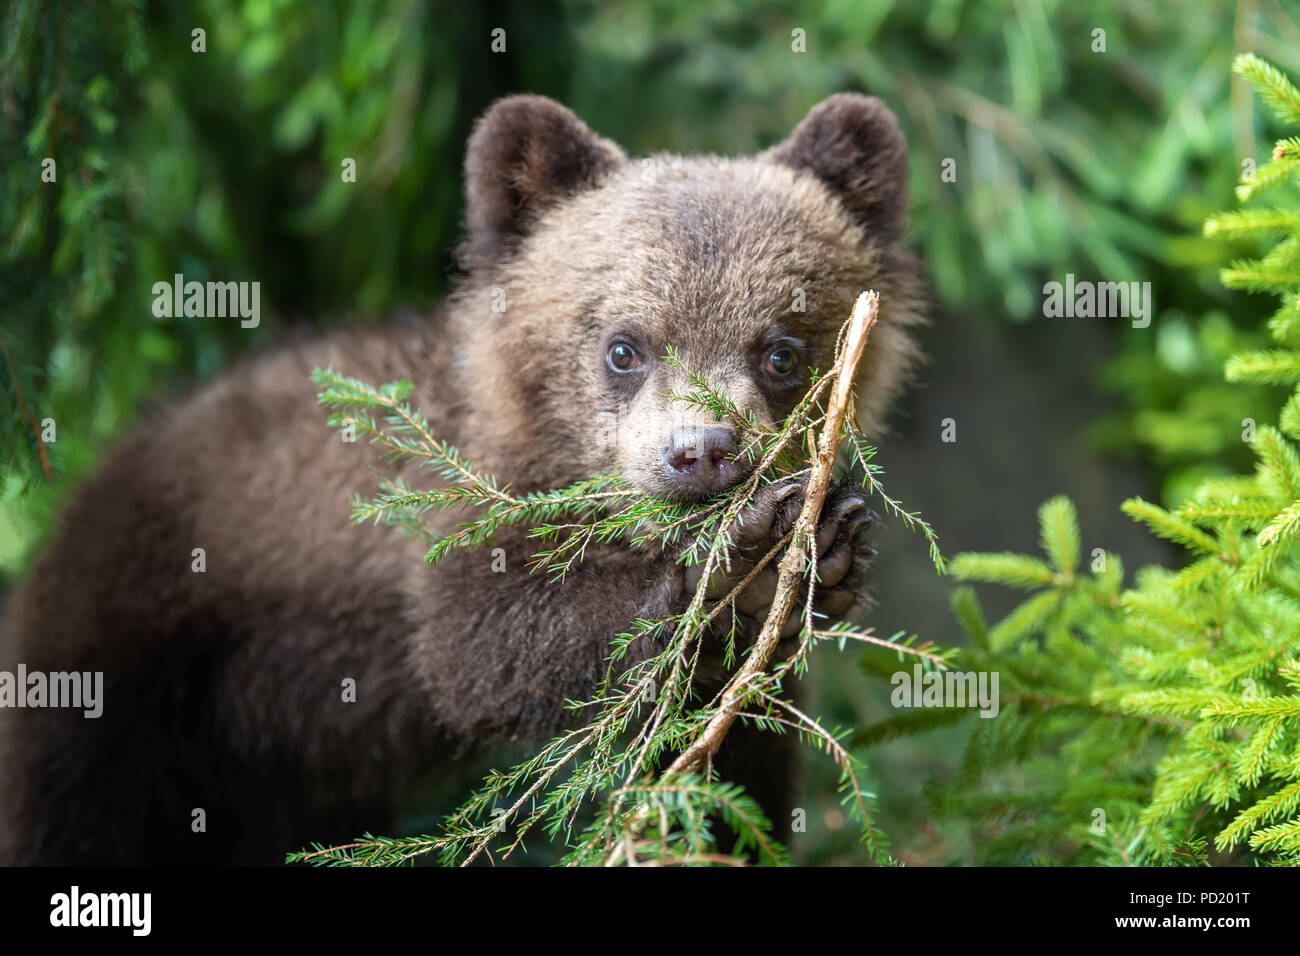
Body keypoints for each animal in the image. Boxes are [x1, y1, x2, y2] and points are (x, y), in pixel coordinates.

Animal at [0, 92, 925, 865]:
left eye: (782, 350)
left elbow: (728, 771)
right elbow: (477, 644)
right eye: (624, 346)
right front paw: (737, 569)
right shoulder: (444, 524)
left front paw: (815, 555)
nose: (701, 451)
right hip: (120, 661)